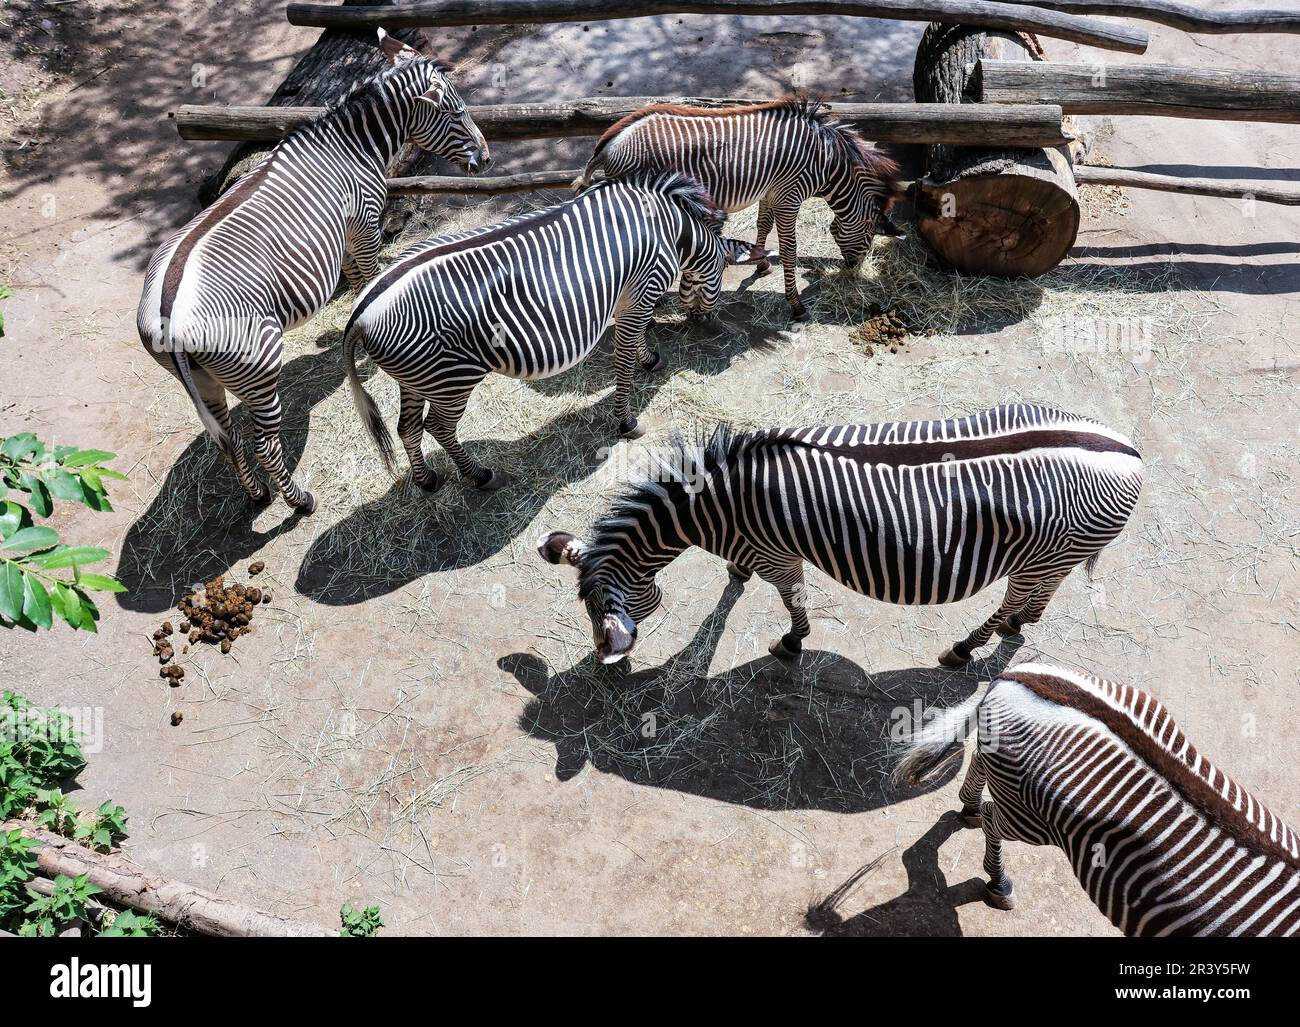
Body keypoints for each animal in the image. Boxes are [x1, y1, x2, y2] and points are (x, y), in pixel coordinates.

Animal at [136, 30, 489, 513]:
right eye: (456, 112)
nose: (487, 160)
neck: (351, 147)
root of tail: (167, 309)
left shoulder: (348, 234)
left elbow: (356, 280)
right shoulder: (365, 224)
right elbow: (365, 278)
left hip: (205, 379)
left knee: (228, 439)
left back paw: (258, 496)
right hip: (258, 363)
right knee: (264, 443)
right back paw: (301, 501)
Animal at [343, 171, 769, 492]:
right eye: (721, 272)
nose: (705, 324)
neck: (672, 228)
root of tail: (360, 315)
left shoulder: (627, 296)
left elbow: (636, 340)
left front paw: (650, 359)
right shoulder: (641, 290)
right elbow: (624, 359)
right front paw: (627, 420)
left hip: (417, 377)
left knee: (408, 427)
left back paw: (427, 480)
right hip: (453, 378)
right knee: (437, 427)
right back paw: (480, 475)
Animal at [536, 404, 1142, 665]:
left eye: (596, 625)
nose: (607, 667)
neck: (712, 505)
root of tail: (1131, 454)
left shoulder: (779, 554)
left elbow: (791, 599)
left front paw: (792, 642)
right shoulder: (761, 548)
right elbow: (740, 583)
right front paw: (735, 576)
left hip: (1039, 556)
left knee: (1010, 603)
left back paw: (964, 648)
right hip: (1055, 554)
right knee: (1041, 593)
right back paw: (1022, 624)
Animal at [572, 98, 902, 320]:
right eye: (870, 237)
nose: (853, 270)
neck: (827, 165)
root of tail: (607, 142)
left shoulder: (772, 192)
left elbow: (763, 226)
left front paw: (761, 263)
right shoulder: (790, 196)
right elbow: (789, 249)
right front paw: (795, 304)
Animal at [893, 662, 1300, 936]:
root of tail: (1011, 680)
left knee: (979, 760)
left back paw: (969, 806)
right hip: (1029, 819)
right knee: (993, 818)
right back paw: (998, 882)